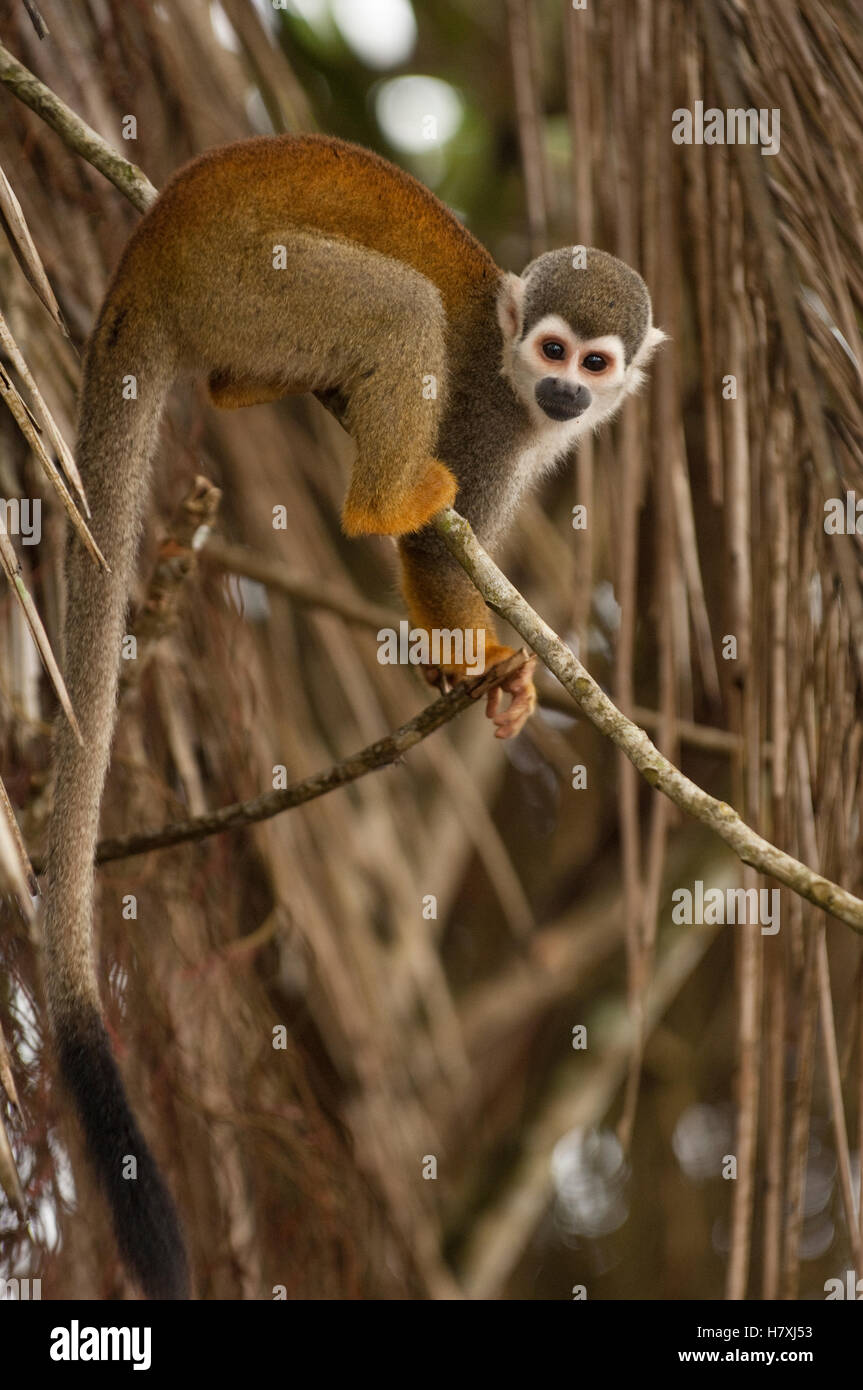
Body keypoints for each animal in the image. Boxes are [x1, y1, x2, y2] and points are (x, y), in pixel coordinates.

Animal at [43, 133, 664, 1299]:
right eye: (552, 348)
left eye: (598, 364)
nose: (565, 391)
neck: (513, 382)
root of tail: (148, 244)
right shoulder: (487, 418)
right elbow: (432, 549)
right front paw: (481, 655)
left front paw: (476, 681)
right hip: (251, 277)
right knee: (398, 314)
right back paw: (385, 490)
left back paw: (252, 389)